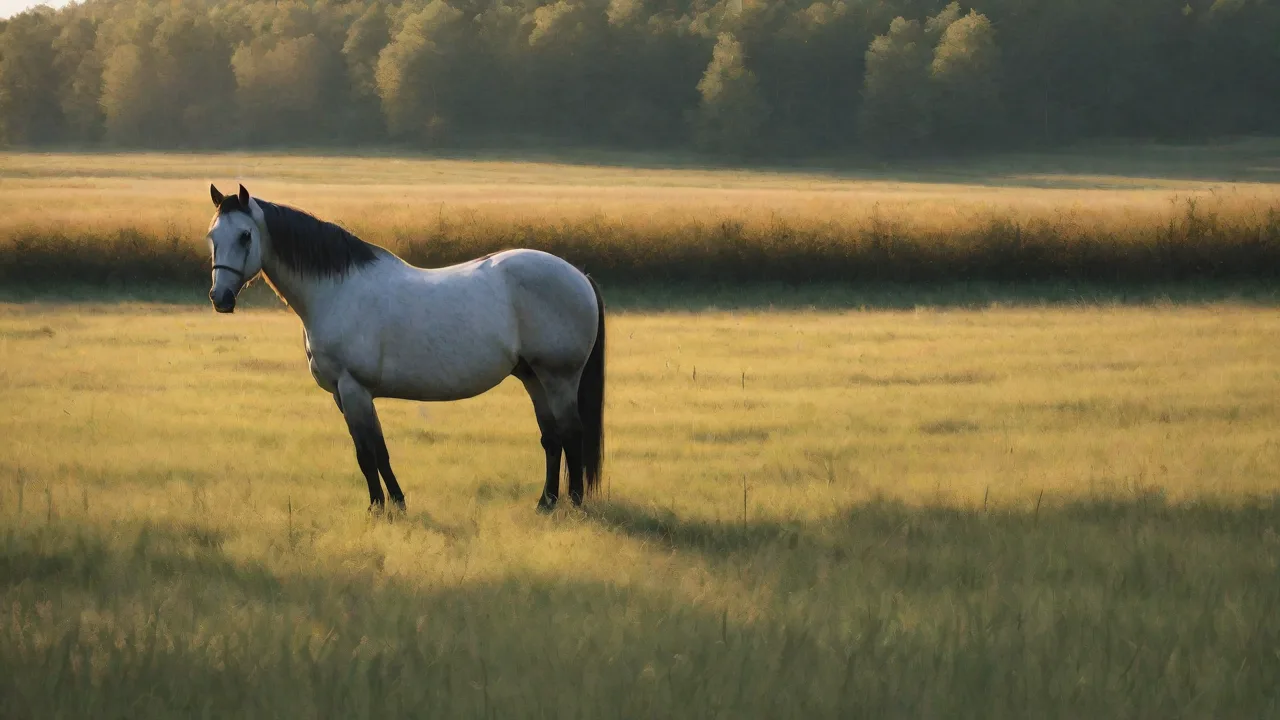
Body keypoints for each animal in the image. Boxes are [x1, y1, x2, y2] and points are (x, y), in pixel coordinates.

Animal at [204, 184, 605, 514]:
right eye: (212, 235)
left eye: (245, 236)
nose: (220, 298)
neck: (337, 292)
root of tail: (579, 275)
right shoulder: (342, 394)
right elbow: (373, 449)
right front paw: (394, 503)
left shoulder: (354, 388)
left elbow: (368, 453)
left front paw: (379, 508)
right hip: (533, 377)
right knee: (552, 437)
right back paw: (545, 503)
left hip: (559, 378)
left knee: (572, 433)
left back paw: (574, 505)